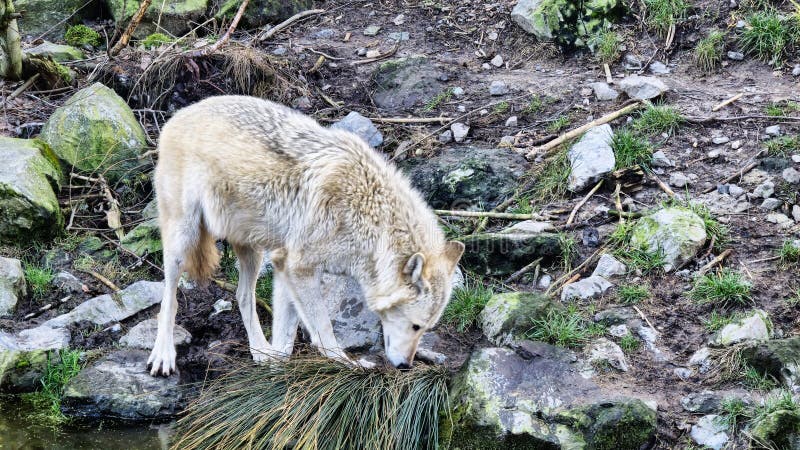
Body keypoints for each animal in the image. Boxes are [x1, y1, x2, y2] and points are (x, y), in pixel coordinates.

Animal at [147, 96, 464, 376]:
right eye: (415, 326)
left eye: (426, 329)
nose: (405, 366)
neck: (370, 219)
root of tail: (177, 116)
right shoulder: (298, 267)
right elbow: (323, 330)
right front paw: (346, 364)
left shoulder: (283, 264)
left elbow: (285, 335)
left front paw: (277, 368)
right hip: (183, 239)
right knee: (169, 299)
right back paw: (163, 354)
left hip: (254, 251)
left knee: (242, 295)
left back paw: (260, 351)